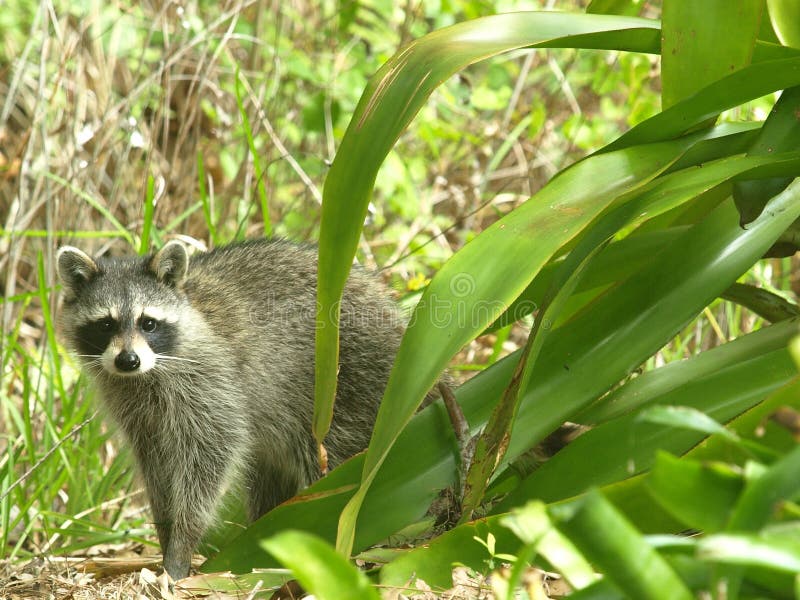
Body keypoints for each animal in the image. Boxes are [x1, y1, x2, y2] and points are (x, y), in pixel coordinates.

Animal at [56, 239, 407, 580]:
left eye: (149, 323)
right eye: (105, 324)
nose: (128, 360)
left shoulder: (211, 382)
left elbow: (212, 452)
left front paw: (183, 540)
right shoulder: (134, 406)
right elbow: (155, 462)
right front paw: (165, 525)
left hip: (348, 390)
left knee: (334, 458)